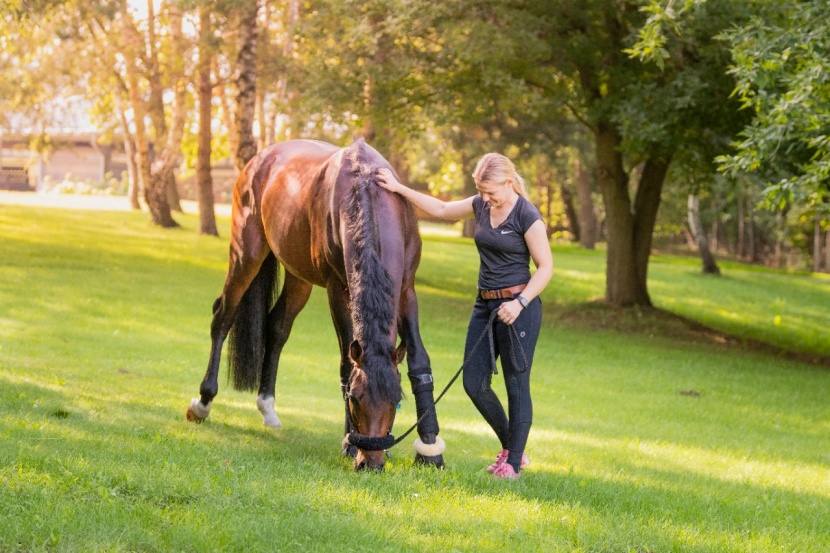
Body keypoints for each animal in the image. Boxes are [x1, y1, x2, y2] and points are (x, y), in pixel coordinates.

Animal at [186, 138, 445, 471]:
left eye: (397, 401)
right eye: (354, 398)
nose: (370, 463)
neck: (366, 191)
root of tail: (259, 159)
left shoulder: (406, 291)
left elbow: (420, 361)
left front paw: (430, 448)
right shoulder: (338, 290)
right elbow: (347, 363)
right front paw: (349, 443)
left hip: (299, 277)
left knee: (277, 327)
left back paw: (267, 407)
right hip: (246, 253)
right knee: (223, 316)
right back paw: (203, 402)